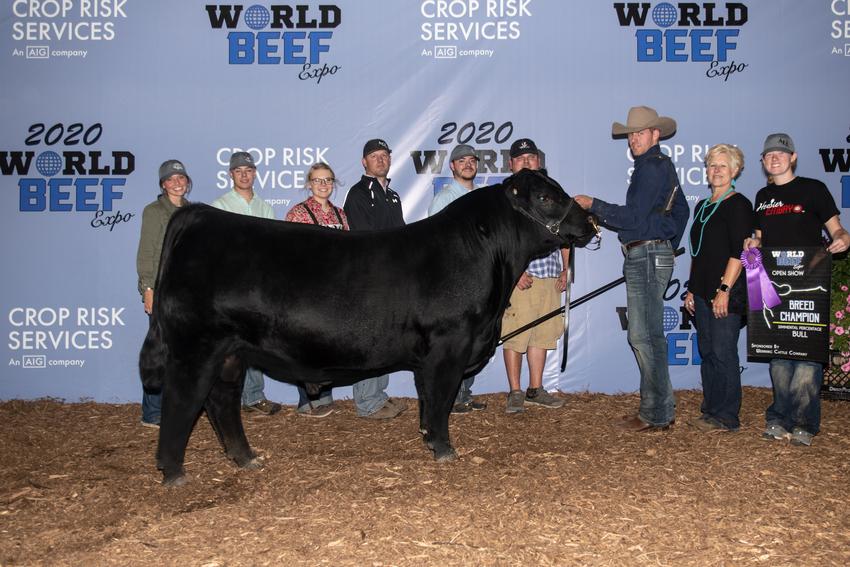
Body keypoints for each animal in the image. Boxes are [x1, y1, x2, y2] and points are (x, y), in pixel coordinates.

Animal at [140, 168, 598, 485]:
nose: (589, 221)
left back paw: (246, 457)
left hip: (231, 352)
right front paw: (444, 449)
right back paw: (174, 471)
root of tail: (199, 216)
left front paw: (429, 439)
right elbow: (440, 400)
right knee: (182, 401)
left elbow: (429, 402)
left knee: (221, 401)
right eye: (545, 196)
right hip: (196, 347)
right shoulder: (449, 345)